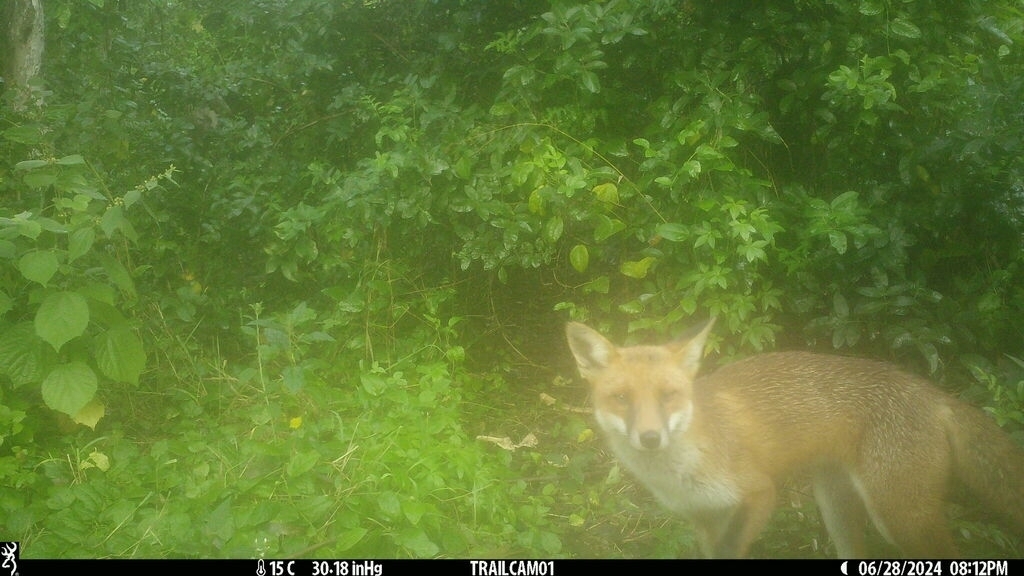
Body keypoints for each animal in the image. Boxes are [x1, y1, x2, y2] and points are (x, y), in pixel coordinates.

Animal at [566, 319, 1024, 558]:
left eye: (668, 395)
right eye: (621, 398)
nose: (650, 438)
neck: (680, 472)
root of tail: (933, 393)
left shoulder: (758, 494)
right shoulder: (704, 518)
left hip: (901, 517)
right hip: (838, 509)